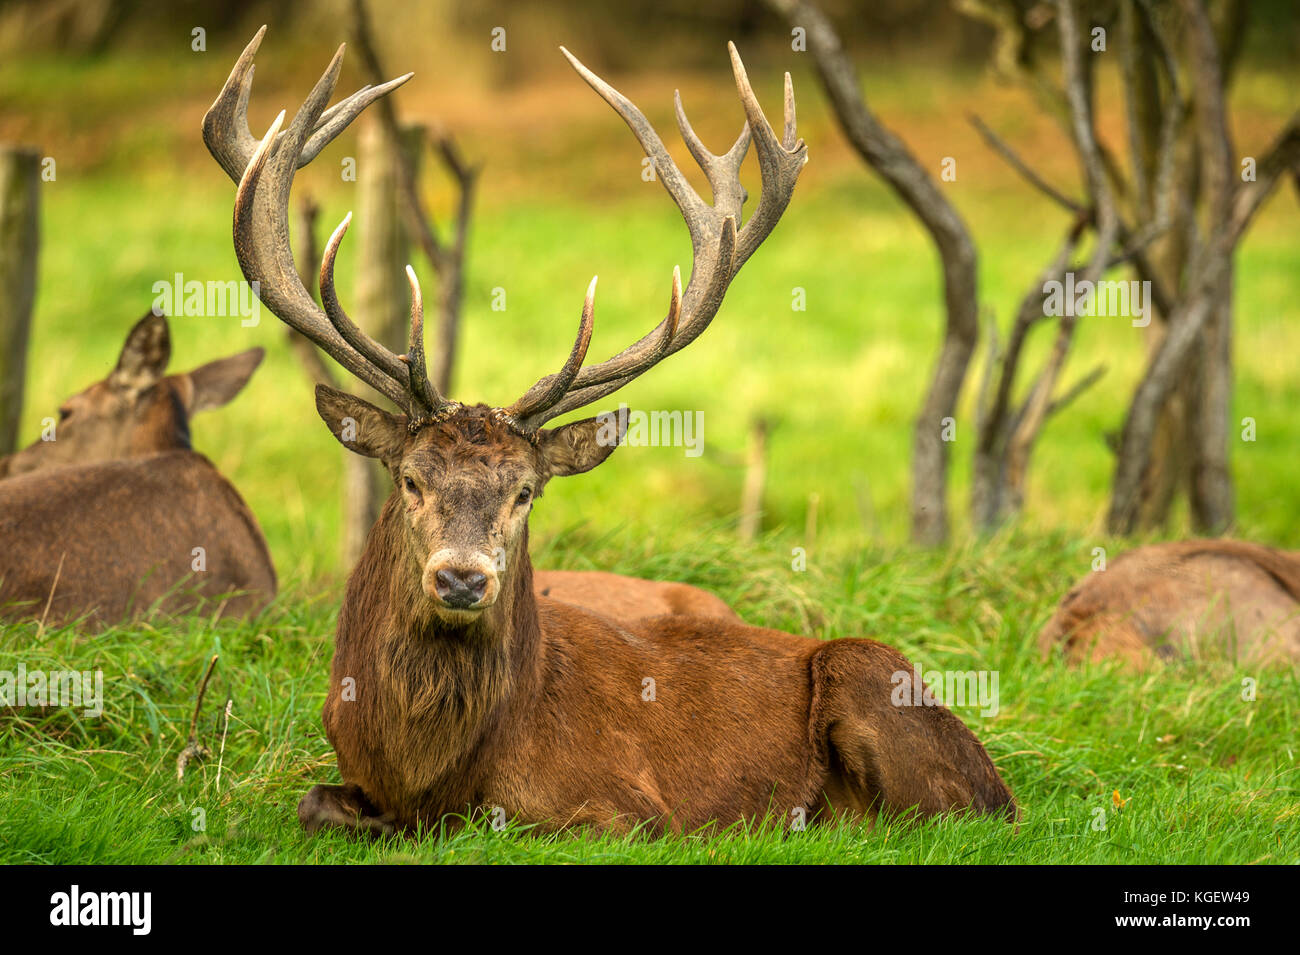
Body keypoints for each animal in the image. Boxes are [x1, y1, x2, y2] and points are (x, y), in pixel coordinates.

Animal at [205, 28, 1015, 836]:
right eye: (410, 477)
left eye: (526, 491)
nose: (463, 577)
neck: (434, 774)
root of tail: (1001, 784)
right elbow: (314, 802)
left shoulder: (629, 804)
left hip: (872, 677)